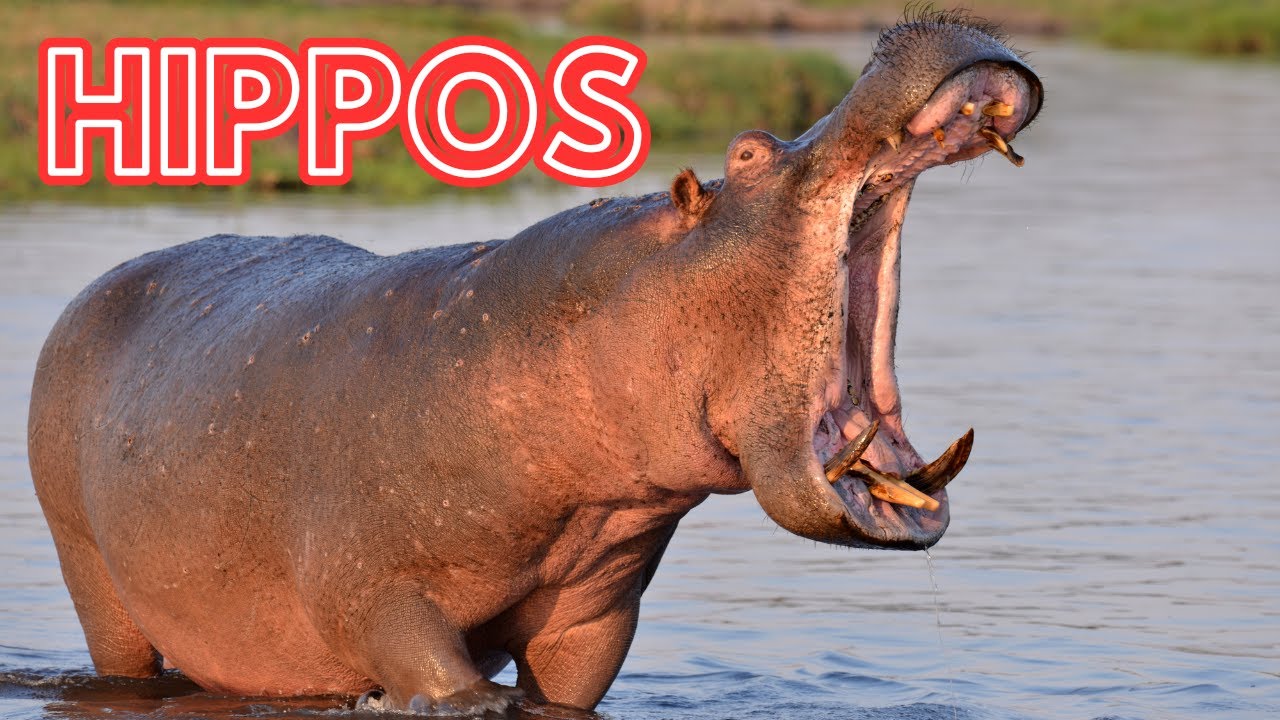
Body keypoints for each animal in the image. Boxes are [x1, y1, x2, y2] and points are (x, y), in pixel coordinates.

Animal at [28, 11, 1042, 715]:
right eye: (750, 150)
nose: (912, 27)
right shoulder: (374, 589)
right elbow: (434, 667)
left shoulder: (595, 616)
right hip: (95, 579)